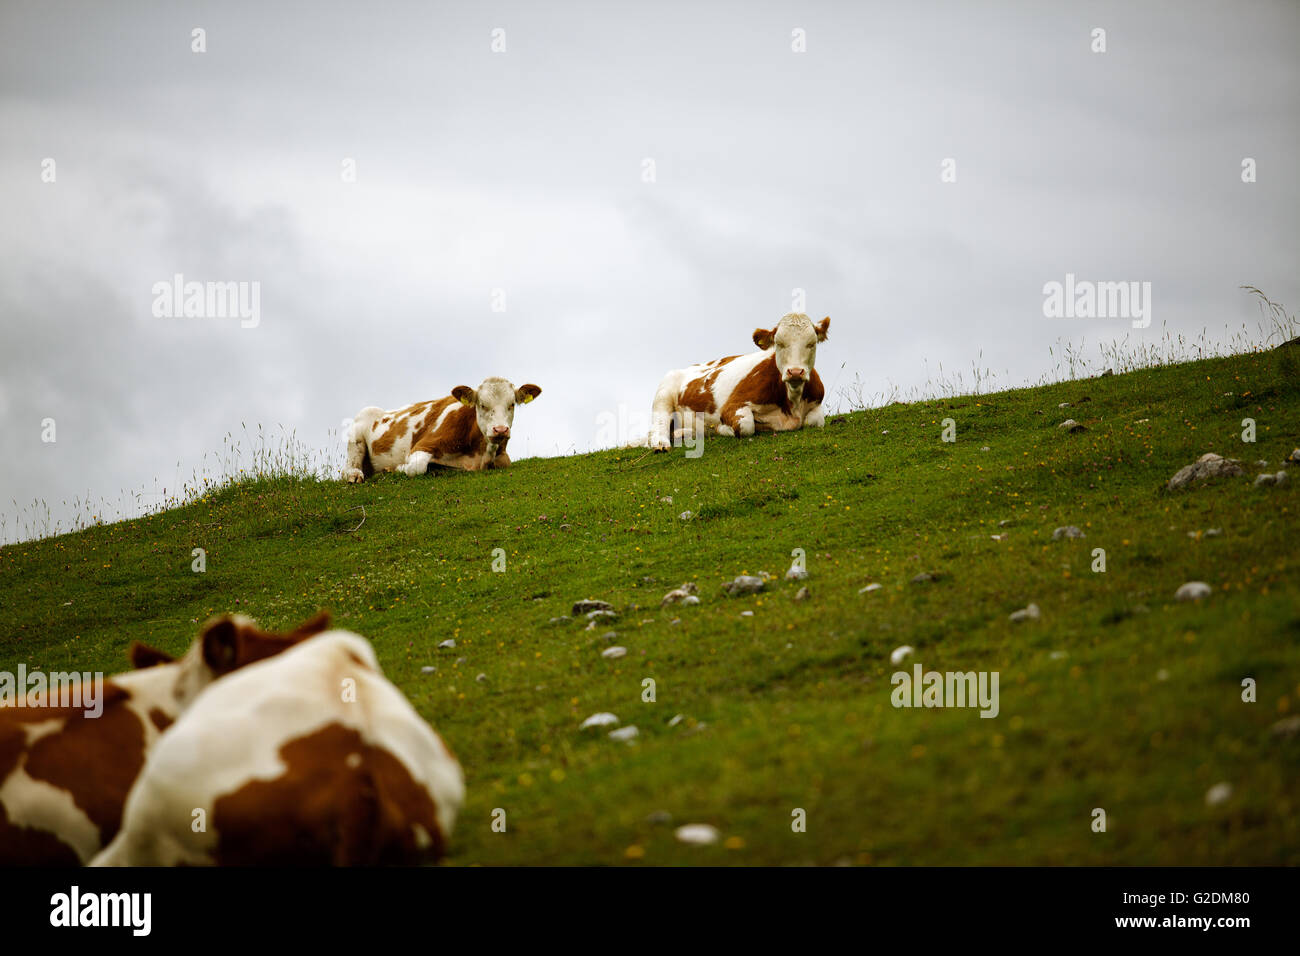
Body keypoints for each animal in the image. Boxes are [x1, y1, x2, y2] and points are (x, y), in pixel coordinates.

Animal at [344, 377, 541, 482]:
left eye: (511, 404)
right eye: (482, 405)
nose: (500, 430)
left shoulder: (502, 456)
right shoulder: (422, 446)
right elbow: (416, 467)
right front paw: (398, 468)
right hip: (357, 433)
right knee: (349, 467)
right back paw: (355, 475)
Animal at [649, 313, 830, 451]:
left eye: (811, 344)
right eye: (779, 344)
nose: (795, 372)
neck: (792, 404)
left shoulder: (816, 403)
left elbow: (815, 421)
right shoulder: (733, 405)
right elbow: (746, 425)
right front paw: (721, 429)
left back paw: (684, 433)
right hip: (664, 393)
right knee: (659, 423)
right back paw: (661, 443)